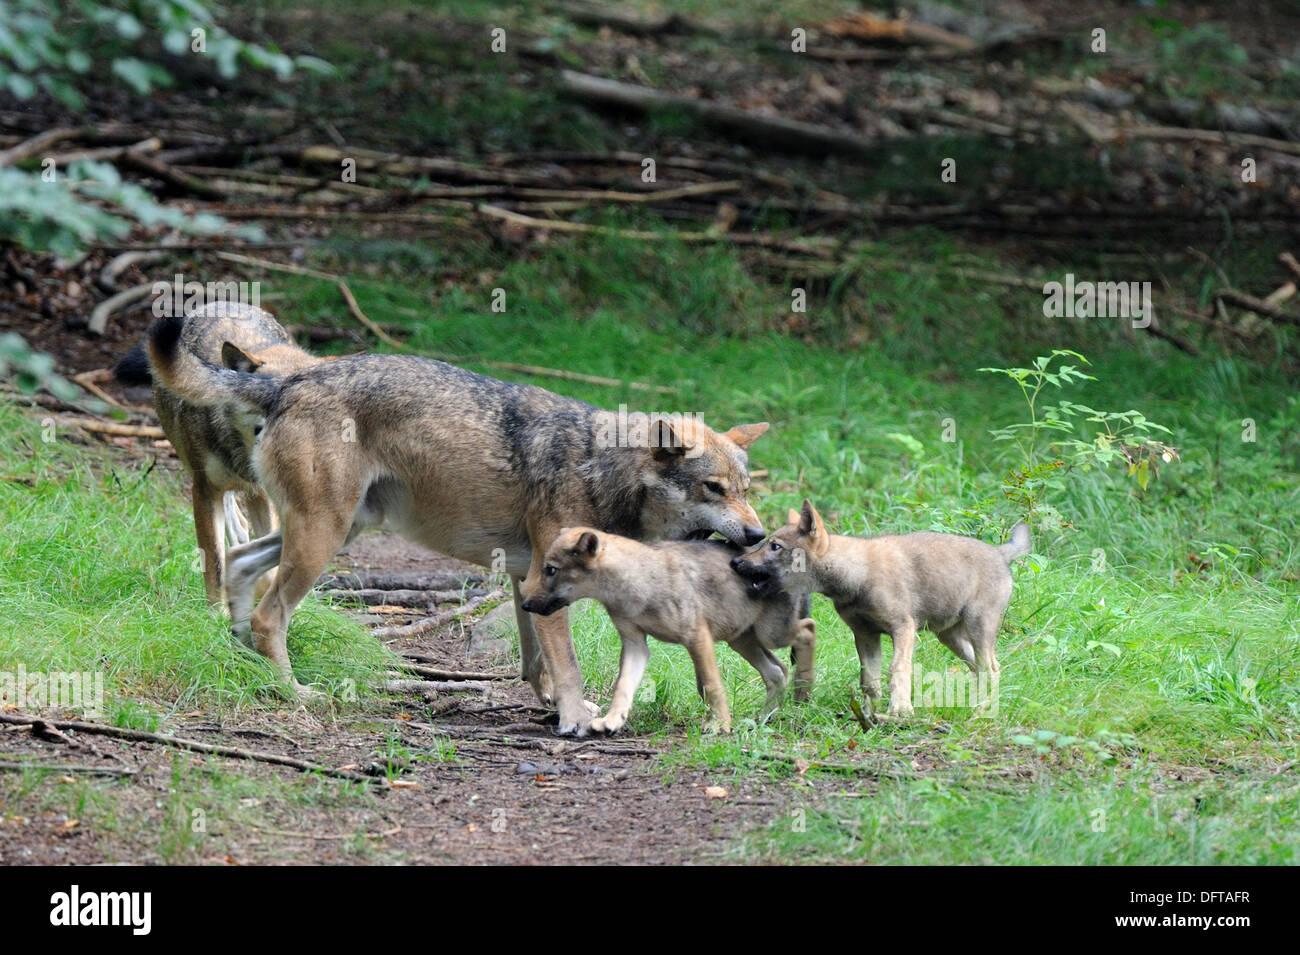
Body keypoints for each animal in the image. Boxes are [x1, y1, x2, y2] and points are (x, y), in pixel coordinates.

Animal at [144, 313, 768, 735]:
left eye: (746, 491)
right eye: (714, 490)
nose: (760, 536)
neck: (600, 466)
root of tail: (289, 381)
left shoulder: (526, 582)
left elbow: (535, 665)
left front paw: (554, 707)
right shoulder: (544, 584)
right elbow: (565, 666)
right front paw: (573, 720)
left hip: (331, 530)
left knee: (239, 566)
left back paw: (244, 661)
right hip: (322, 539)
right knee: (270, 611)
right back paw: (294, 691)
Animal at [732, 500, 1031, 717]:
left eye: (774, 546)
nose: (735, 562)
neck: (857, 575)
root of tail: (1000, 552)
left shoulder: (904, 628)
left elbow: (897, 670)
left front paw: (900, 711)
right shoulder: (865, 635)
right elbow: (869, 680)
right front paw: (868, 715)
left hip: (978, 628)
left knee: (992, 668)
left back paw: (983, 711)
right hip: (950, 637)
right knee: (980, 669)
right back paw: (976, 706)